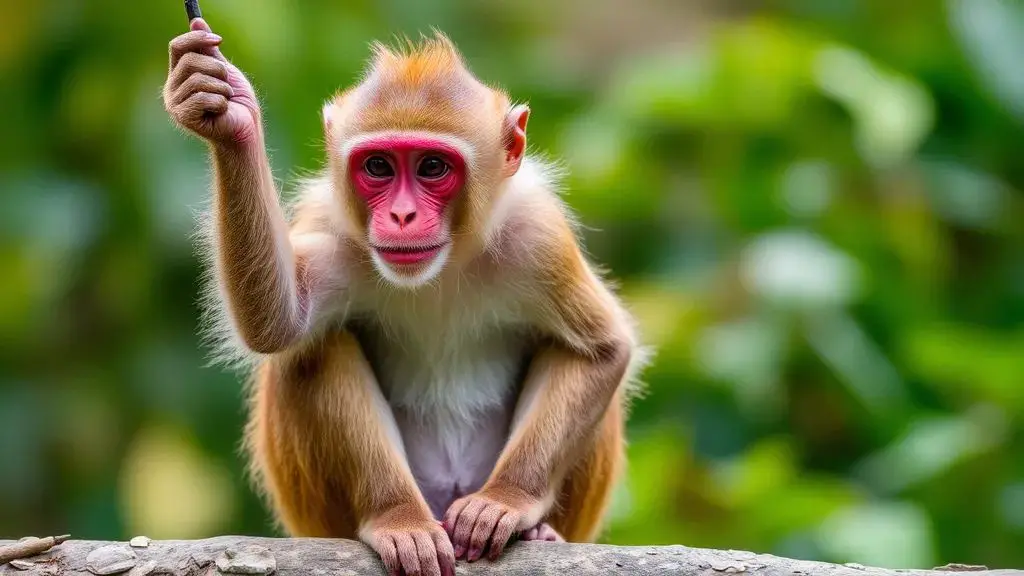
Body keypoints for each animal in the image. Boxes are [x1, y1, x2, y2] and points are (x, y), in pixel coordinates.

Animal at [163, 16, 647, 576]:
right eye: (378, 166)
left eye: (433, 167)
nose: (400, 215)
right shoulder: (335, 229)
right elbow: (282, 322)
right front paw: (230, 117)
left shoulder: (537, 237)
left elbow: (603, 350)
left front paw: (506, 500)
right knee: (317, 346)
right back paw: (398, 517)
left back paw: (538, 531)